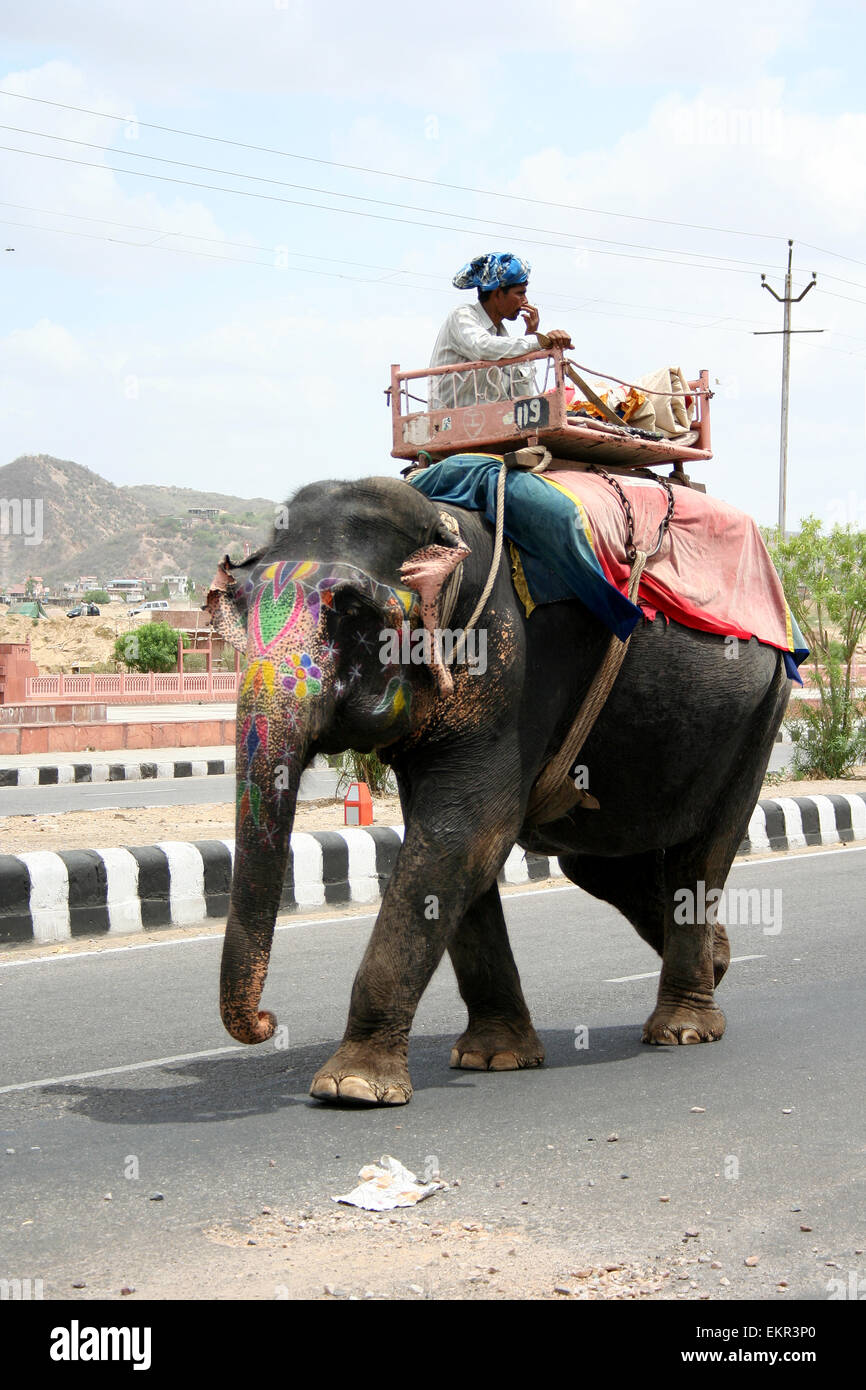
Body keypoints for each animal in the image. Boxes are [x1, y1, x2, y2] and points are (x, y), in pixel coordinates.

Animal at [207, 472, 790, 1106]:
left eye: (355, 612)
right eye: (237, 607)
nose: (267, 1023)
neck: (446, 523)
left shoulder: (511, 663)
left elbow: (463, 835)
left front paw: (353, 1086)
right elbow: (455, 849)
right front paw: (493, 1058)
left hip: (763, 709)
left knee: (701, 852)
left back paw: (683, 1027)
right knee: (600, 864)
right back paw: (720, 960)